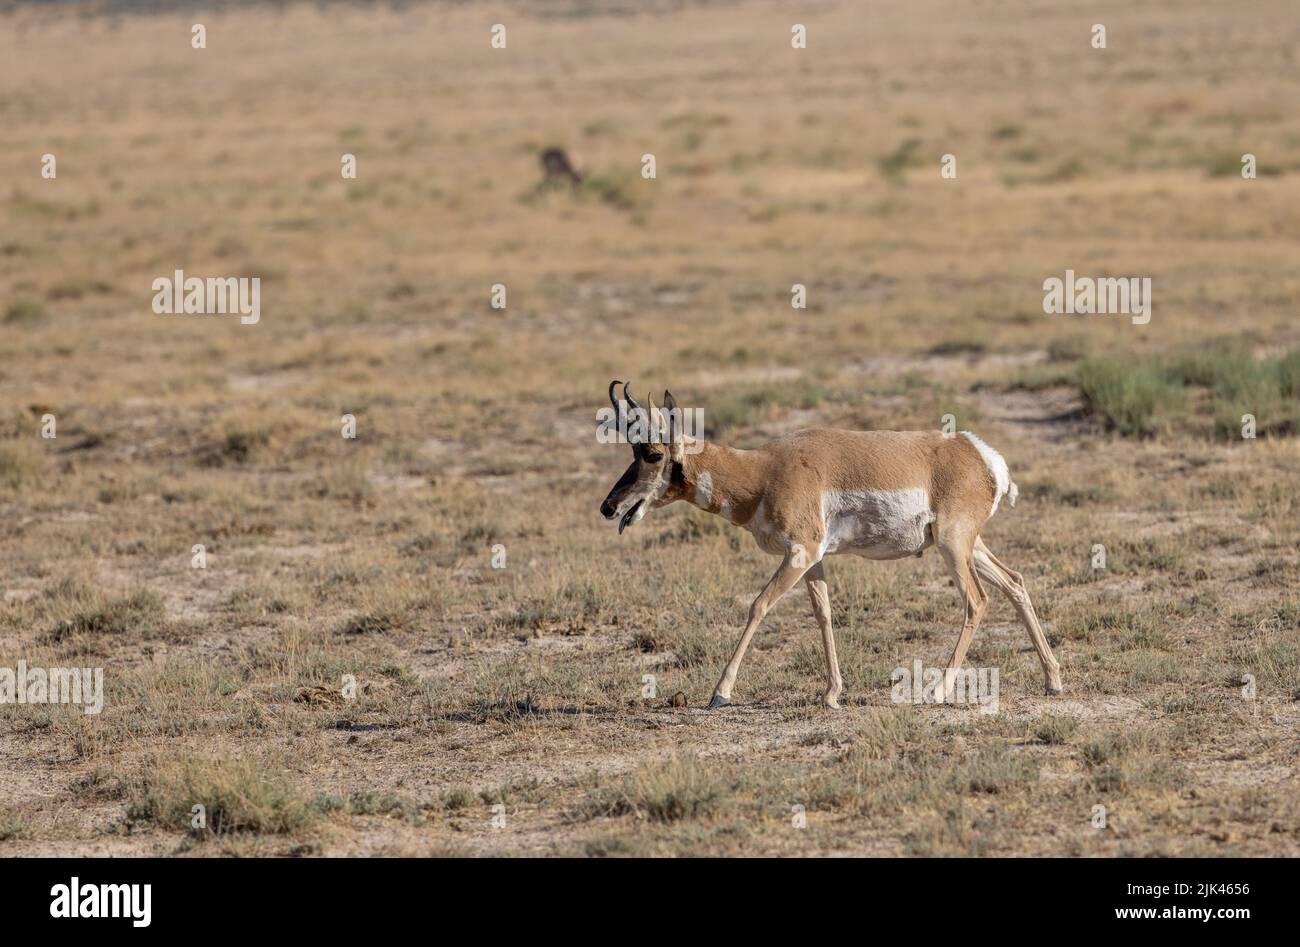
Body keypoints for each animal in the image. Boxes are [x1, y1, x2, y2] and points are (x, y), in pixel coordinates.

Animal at [598, 381, 1063, 709]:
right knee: (1015, 582)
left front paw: (720, 693)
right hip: (969, 547)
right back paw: (1053, 682)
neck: (764, 470)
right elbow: (823, 615)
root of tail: (978, 451)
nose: (608, 506)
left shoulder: (799, 553)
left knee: (977, 600)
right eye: (632, 450)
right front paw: (831, 694)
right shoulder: (812, 558)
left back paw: (939, 690)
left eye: (652, 453)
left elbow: (758, 606)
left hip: (953, 546)